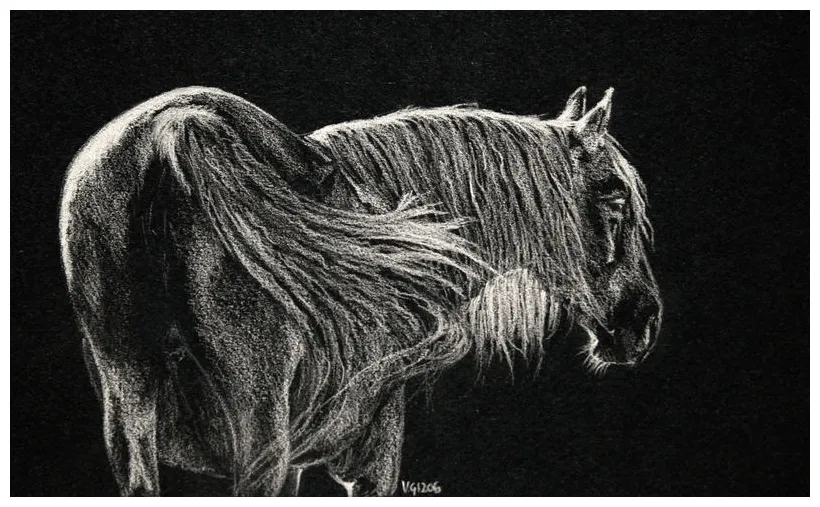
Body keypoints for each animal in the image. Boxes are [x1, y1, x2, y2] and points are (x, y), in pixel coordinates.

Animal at [59, 85, 661, 496]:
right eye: (615, 200)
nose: (646, 319)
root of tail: (170, 132)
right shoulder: (372, 454)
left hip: (128, 395)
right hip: (260, 425)